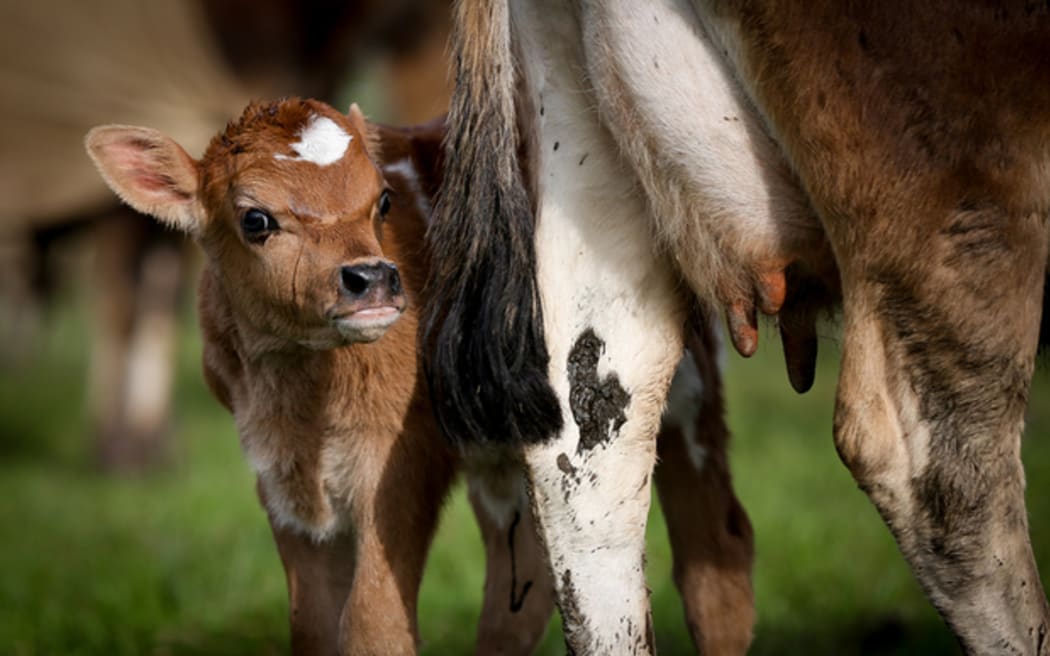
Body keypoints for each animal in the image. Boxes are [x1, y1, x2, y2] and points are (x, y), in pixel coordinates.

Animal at [85, 96, 755, 654]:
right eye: (255, 220)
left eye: (382, 200)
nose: (374, 278)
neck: (302, 400)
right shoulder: (277, 474)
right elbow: (314, 626)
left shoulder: (403, 457)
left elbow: (373, 623)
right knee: (519, 593)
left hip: (673, 384)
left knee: (716, 558)